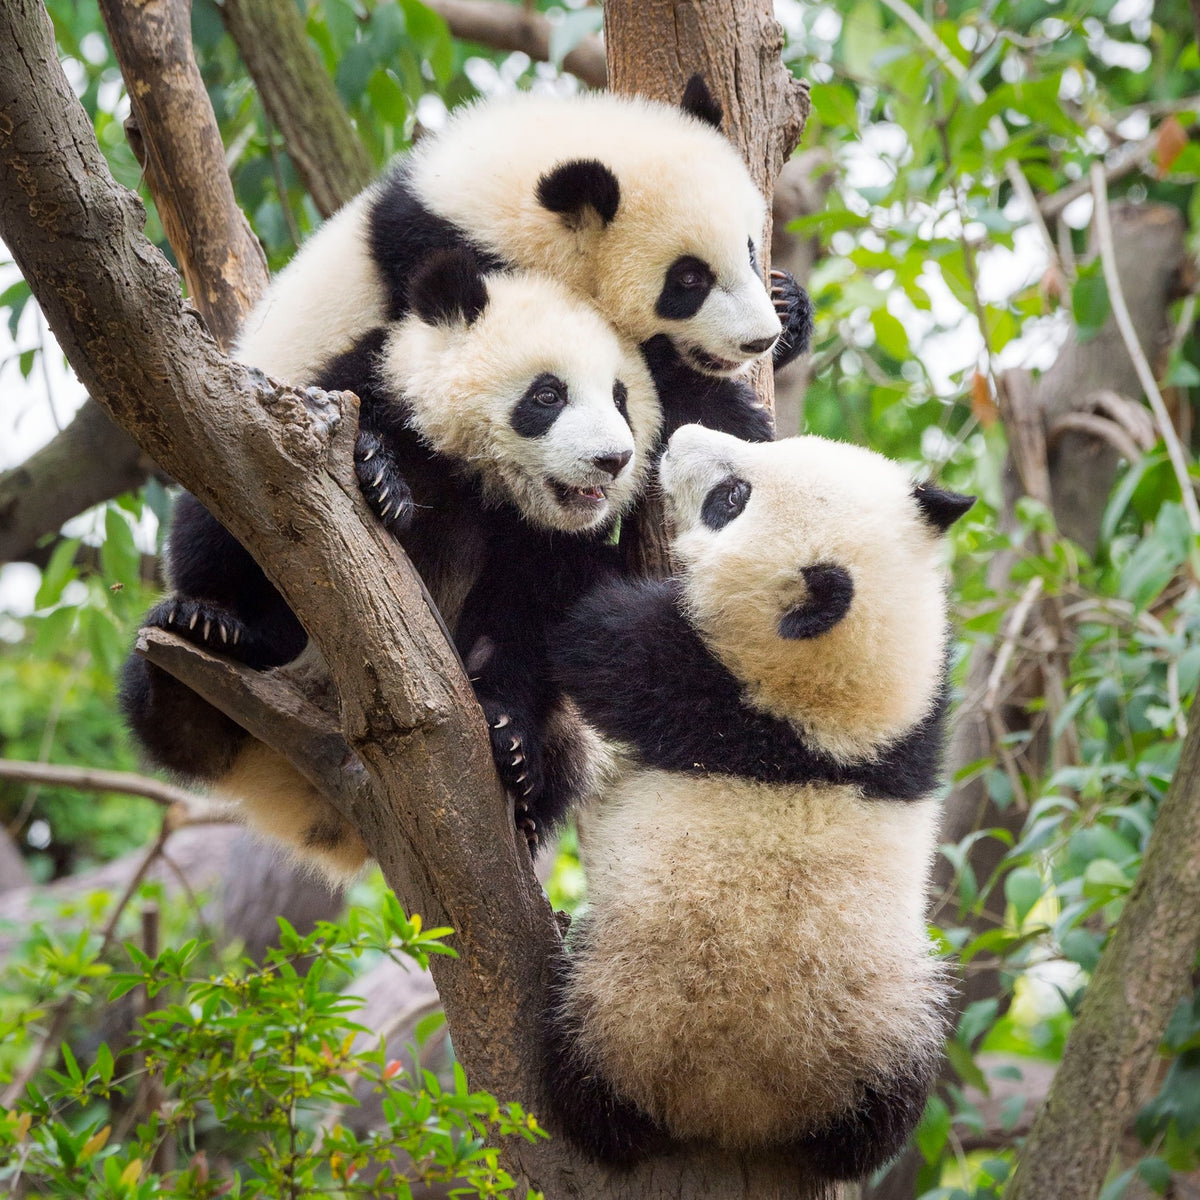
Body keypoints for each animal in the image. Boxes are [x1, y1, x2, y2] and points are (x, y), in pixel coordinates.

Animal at [120, 249, 661, 875]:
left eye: (622, 399)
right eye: (548, 395)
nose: (612, 460)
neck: (482, 480)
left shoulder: (552, 543)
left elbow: (533, 622)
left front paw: (508, 737)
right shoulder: (362, 388)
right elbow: (238, 490)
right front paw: (380, 474)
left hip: (569, 735)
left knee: (571, 750)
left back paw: (528, 802)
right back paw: (201, 646)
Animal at [235, 76, 813, 448]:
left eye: (750, 251)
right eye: (689, 279)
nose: (758, 340)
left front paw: (790, 308)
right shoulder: (443, 259)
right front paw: (730, 412)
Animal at [540, 426, 974, 1180]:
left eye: (730, 500)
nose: (681, 439)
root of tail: (739, 1110)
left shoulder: (703, 691)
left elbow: (589, 631)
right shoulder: (918, 729)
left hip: (613, 1004)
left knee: (584, 1077)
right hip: (895, 1033)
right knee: (884, 1117)